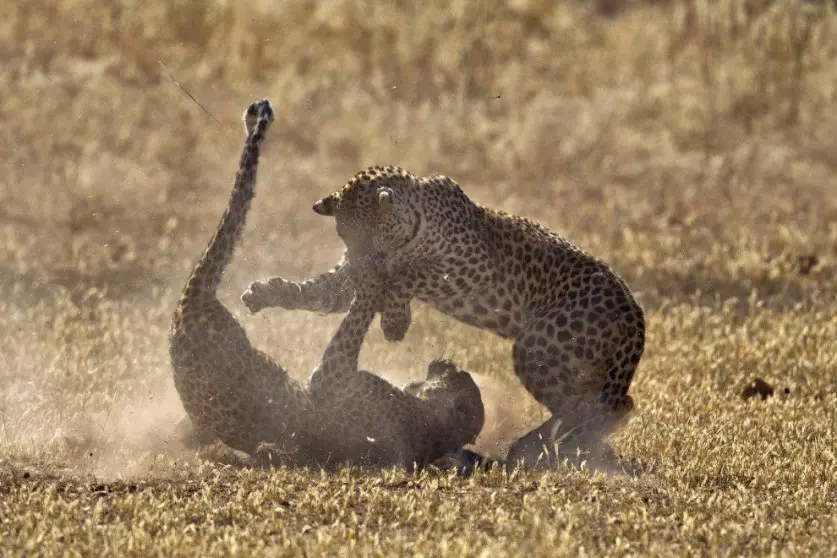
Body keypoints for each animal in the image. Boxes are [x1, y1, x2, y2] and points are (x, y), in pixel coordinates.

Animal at [167, 103, 484, 470]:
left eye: (458, 378)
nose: (446, 363)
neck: (430, 428)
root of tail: (190, 306)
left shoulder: (334, 379)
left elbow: (360, 310)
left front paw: (372, 273)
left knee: (236, 207)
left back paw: (258, 122)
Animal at [242, 165, 648, 468]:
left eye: (365, 231)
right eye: (343, 233)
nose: (359, 261)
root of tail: (635, 316)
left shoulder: (471, 270)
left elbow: (405, 276)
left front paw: (395, 320)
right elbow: (320, 292)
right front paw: (267, 292)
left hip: (537, 346)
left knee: (605, 405)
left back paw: (550, 444)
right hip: (573, 361)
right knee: (597, 403)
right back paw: (545, 443)